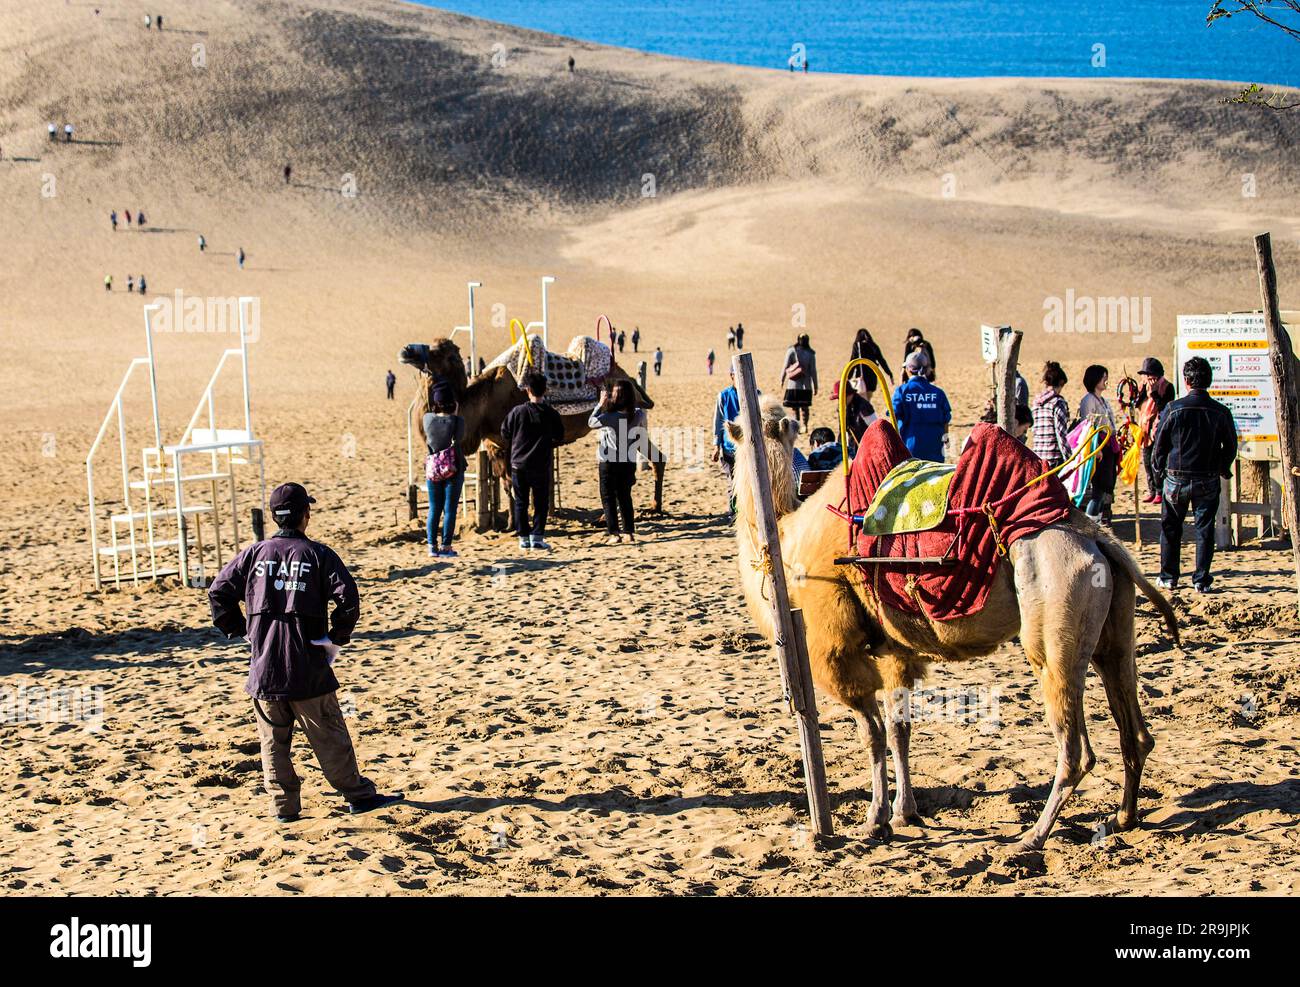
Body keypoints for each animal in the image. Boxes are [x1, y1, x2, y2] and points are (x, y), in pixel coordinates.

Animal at [400, 338, 666, 513]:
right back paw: (652, 507)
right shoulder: (497, 446)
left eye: (442, 353)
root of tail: (629, 378)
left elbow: (518, 485)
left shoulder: (511, 441)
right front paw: (511, 525)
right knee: (655, 458)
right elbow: (507, 484)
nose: (407, 350)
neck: (482, 404)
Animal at [727, 397, 1179, 852]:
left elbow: (873, 734)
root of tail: (1096, 537)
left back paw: (1031, 838)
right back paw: (1123, 817)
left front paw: (875, 820)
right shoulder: (896, 651)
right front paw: (904, 812)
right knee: (1133, 725)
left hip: (1055, 622)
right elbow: (900, 729)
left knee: (1075, 747)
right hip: (1114, 626)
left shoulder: (833, 646)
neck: (786, 540)